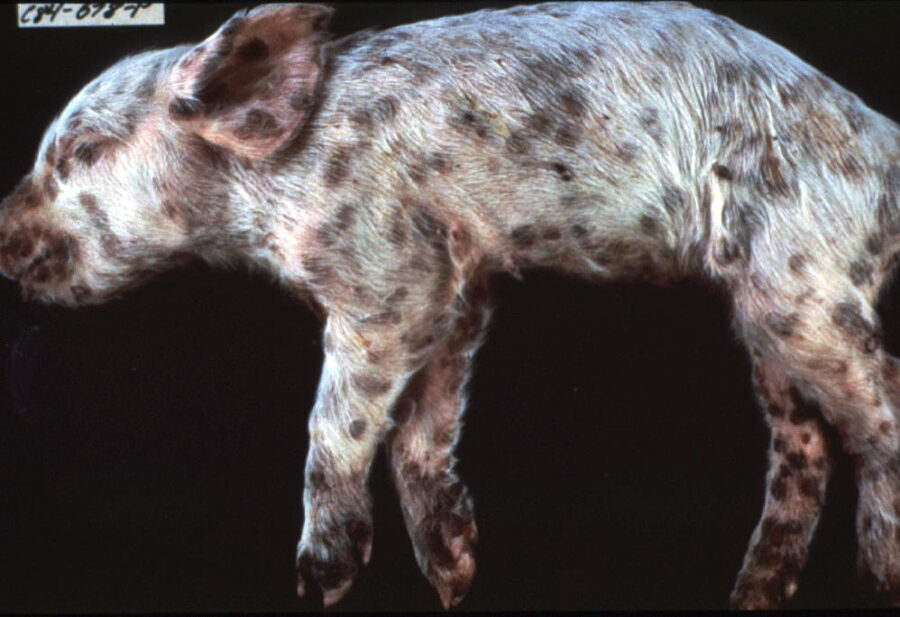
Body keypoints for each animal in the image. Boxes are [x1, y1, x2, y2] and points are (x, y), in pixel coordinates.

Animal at [0, 0, 898, 610]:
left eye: (83, 151)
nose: (4, 232)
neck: (274, 185)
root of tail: (880, 137)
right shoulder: (458, 285)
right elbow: (422, 428)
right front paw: (457, 576)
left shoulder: (390, 276)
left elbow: (337, 421)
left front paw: (319, 583)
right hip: (765, 303)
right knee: (805, 440)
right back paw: (752, 592)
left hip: (803, 271)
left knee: (878, 401)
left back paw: (878, 575)